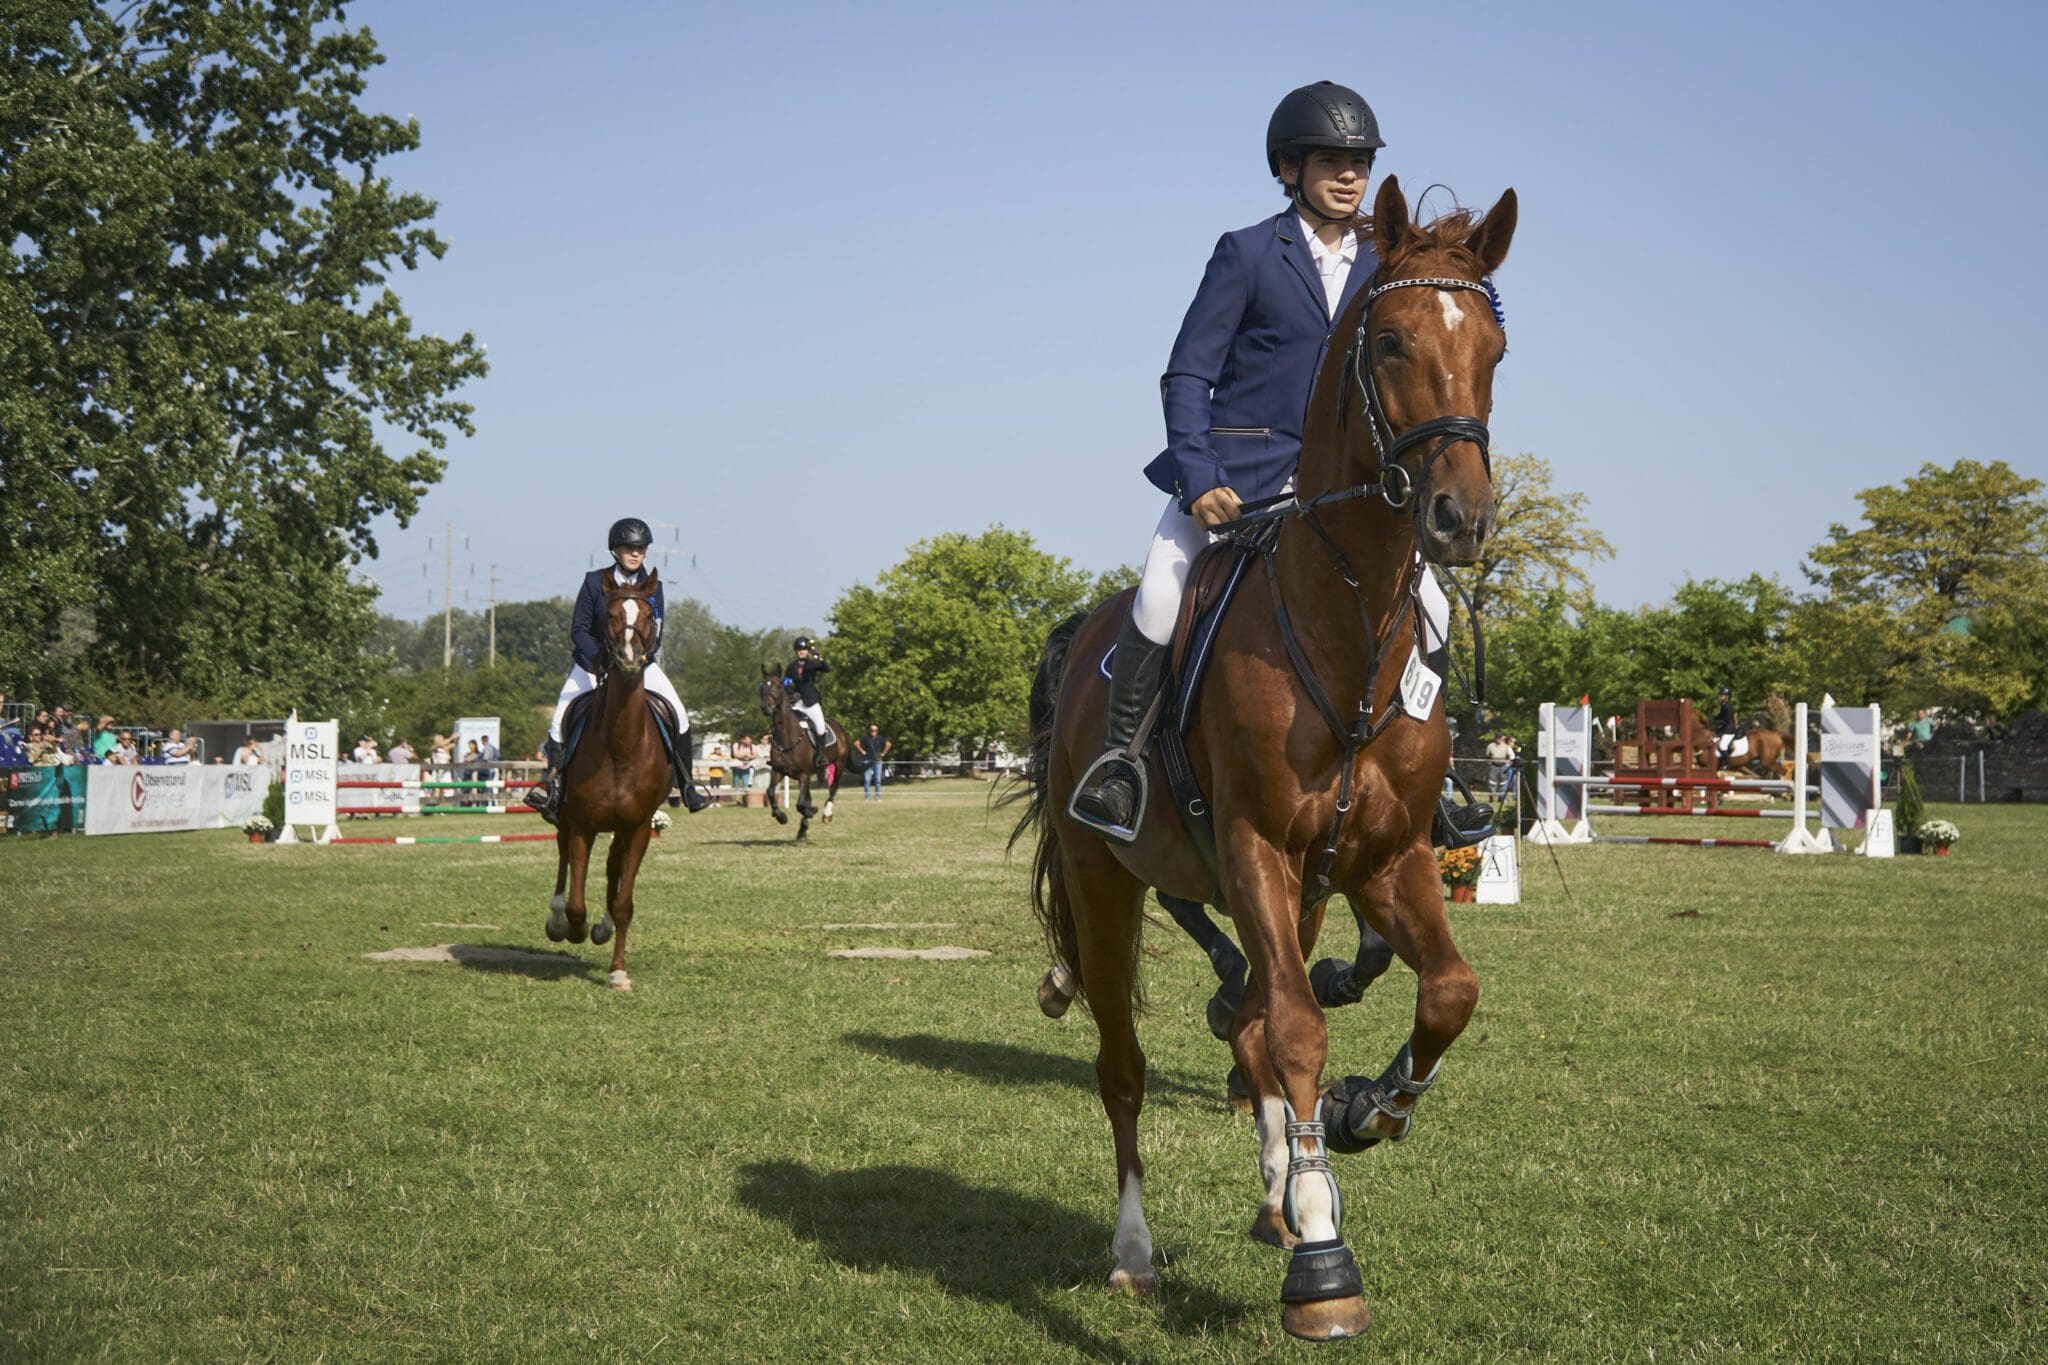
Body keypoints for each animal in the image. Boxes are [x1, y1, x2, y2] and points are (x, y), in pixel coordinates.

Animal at [543, 570, 673, 992]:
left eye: (649, 615)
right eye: (611, 614)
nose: (629, 661)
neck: (622, 746)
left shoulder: (639, 828)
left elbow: (623, 903)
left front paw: (618, 970)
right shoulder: (582, 824)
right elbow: (575, 900)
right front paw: (573, 928)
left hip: (621, 828)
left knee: (614, 867)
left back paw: (601, 928)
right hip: (567, 818)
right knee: (563, 855)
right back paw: (558, 921)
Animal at [755, 668, 852, 841]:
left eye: (778, 686)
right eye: (762, 687)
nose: (767, 708)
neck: (787, 736)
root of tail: (839, 728)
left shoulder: (804, 774)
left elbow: (801, 803)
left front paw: (811, 811)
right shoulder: (778, 771)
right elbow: (771, 792)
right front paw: (781, 817)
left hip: (839, 764)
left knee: (833, 788)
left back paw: (826, 814)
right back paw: (802, 830)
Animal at [1010, 175, 1515, 1340]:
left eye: (1496, 347)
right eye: (1387, 342)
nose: (1458, 520)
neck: (1348, 622)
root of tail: (1082, 638)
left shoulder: (1384, 859)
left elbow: (1445, 991)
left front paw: (1367, 1114)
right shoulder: (1250, 844)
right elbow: (1291, 1029)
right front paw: (1326, 1266)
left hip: (1307, 890)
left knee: (1251, 1027)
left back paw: (1285, 1187)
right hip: (1111, 882)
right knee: (1128, 1067)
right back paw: (1139, 1252)